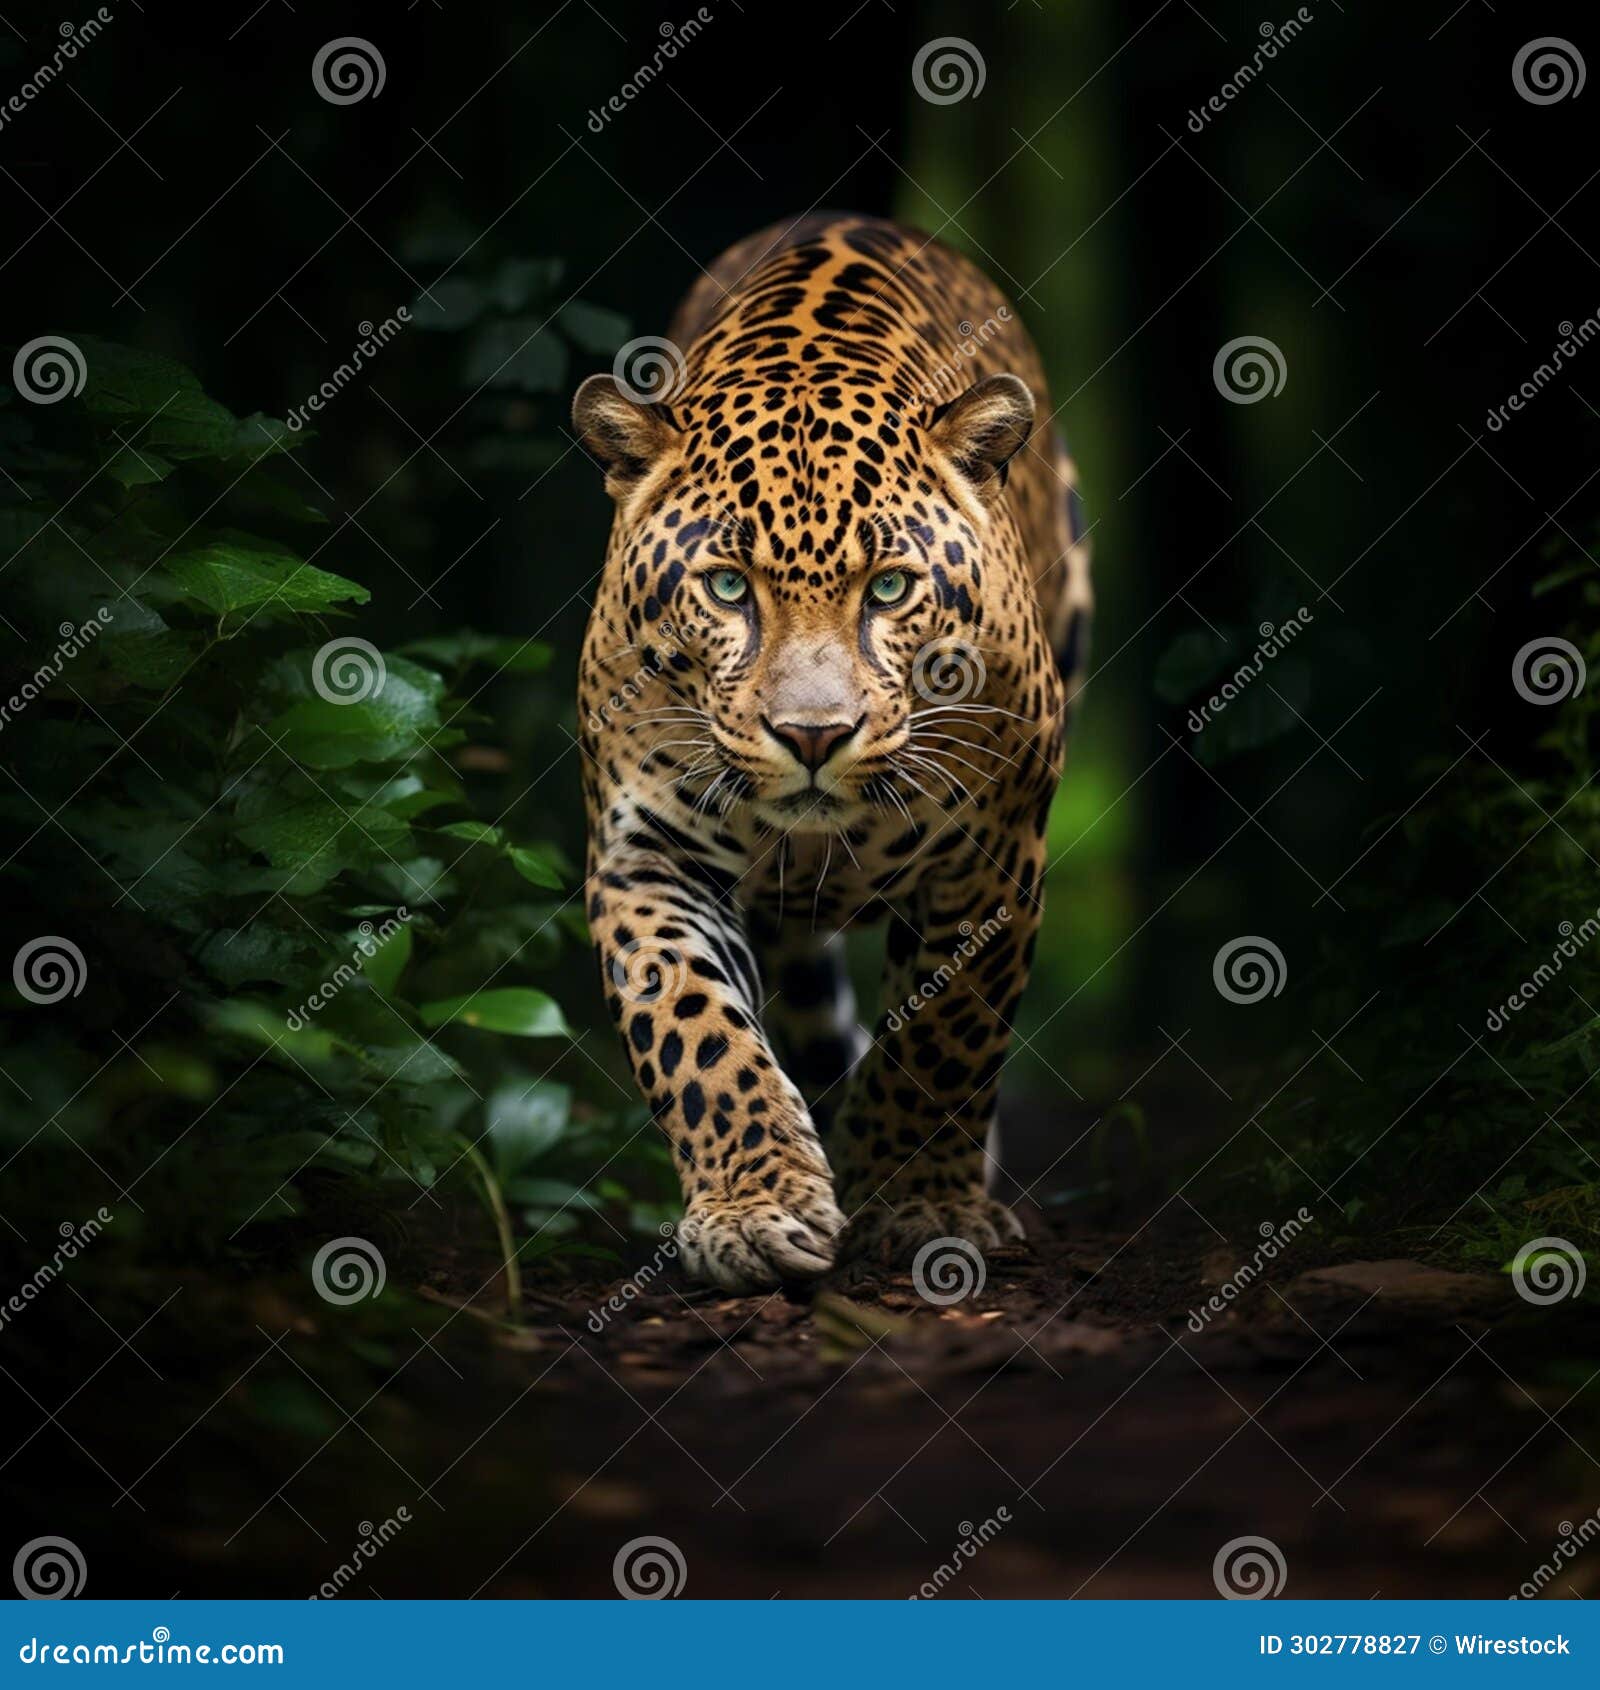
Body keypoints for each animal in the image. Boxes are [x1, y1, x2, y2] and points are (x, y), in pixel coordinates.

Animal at [572, 213, 1091, 1293]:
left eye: (889, 589)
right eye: (727, 587)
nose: (813, 735)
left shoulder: (994, 861)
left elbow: (945, 1037)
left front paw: (920, 1202)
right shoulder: (647, 858)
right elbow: (695, 1033)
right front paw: (758, 1208)